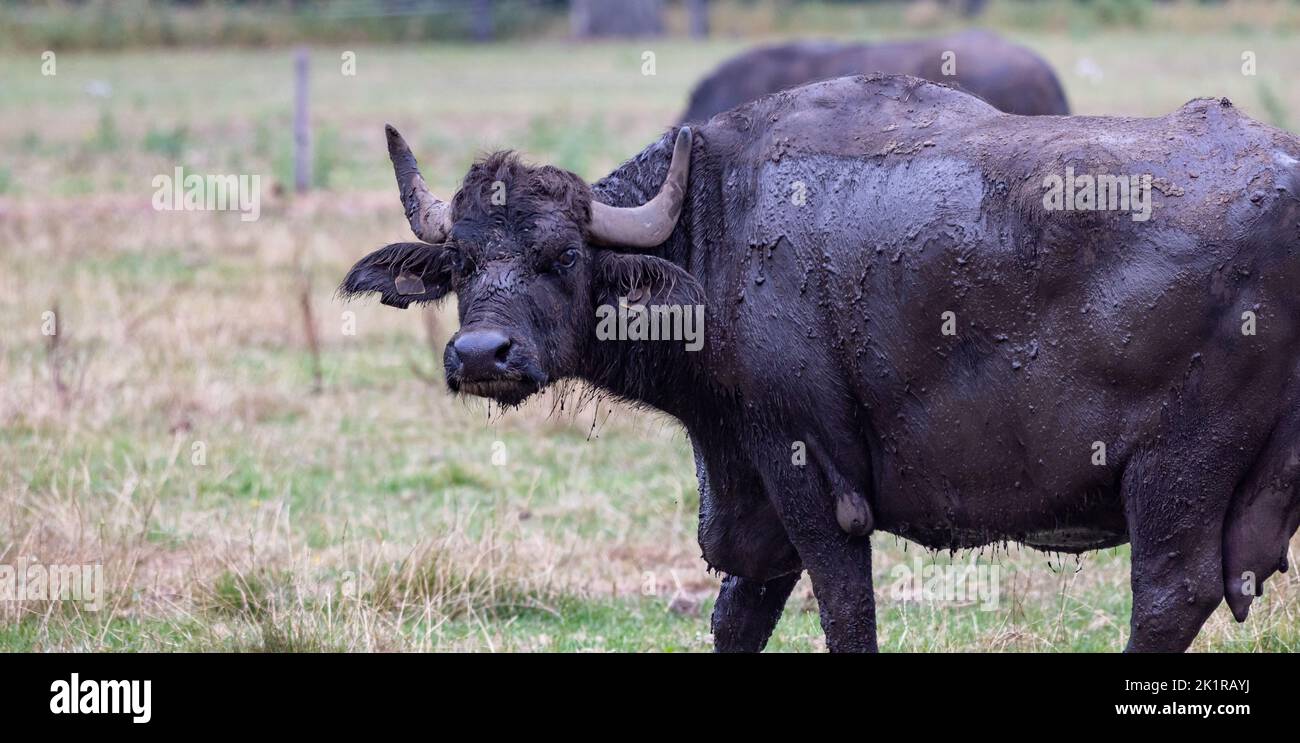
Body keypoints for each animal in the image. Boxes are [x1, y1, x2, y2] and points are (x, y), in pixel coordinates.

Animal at [342, 74, 1300, 652]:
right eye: (465, 262)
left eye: (562, 258)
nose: (482, 354)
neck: (714, 229)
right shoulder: (751, 499)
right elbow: (737, 615)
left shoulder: (808, 474)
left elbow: (845, 610)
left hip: (1176, 469)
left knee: (1169, 592)